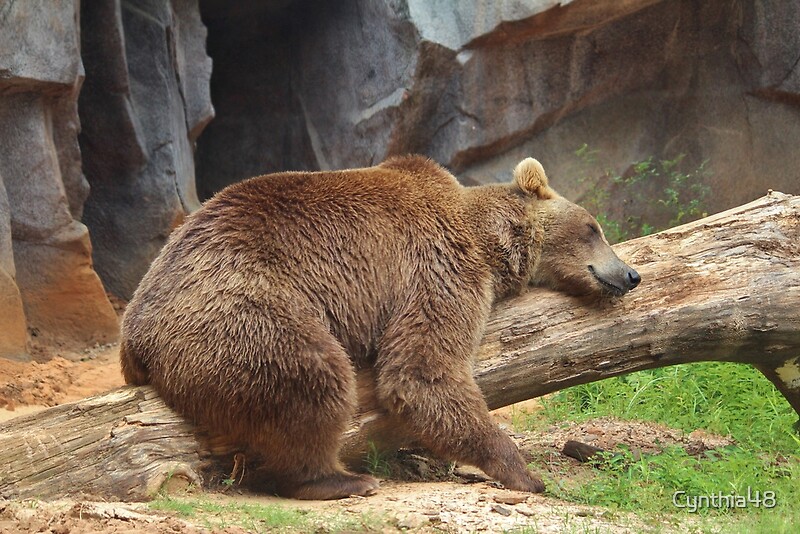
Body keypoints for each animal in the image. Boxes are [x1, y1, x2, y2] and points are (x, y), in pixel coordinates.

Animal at [120, 155, 640, 500]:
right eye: (593, 227)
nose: (631, 274)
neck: (490, 240)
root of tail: (133, 338)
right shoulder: (440, 264)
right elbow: (422, 371)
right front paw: (524, 471)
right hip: (237, 309)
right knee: (313, 373)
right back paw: (340, 478)